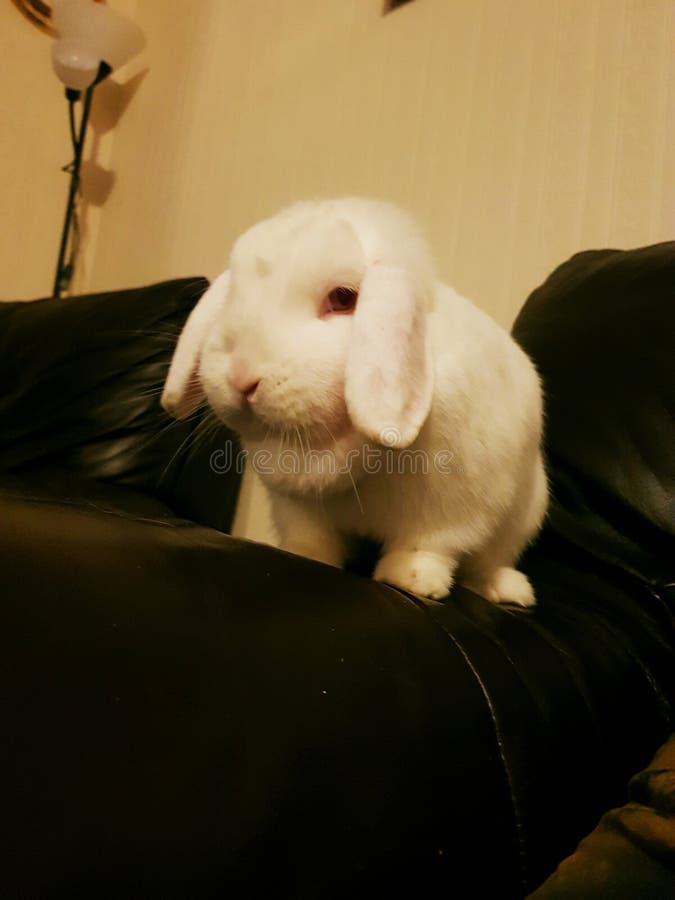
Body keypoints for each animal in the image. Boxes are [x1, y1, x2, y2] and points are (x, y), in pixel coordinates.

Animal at [162, 198, 548, 605]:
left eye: (343, 298)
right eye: (233, 296)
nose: (241, 376)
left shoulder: (452, 508)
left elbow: (428, 545)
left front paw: (411, 578)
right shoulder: (299, 509)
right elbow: (312, 539)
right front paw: (301, 554)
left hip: (523, 517)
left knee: (489, 561)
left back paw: (508, 589)